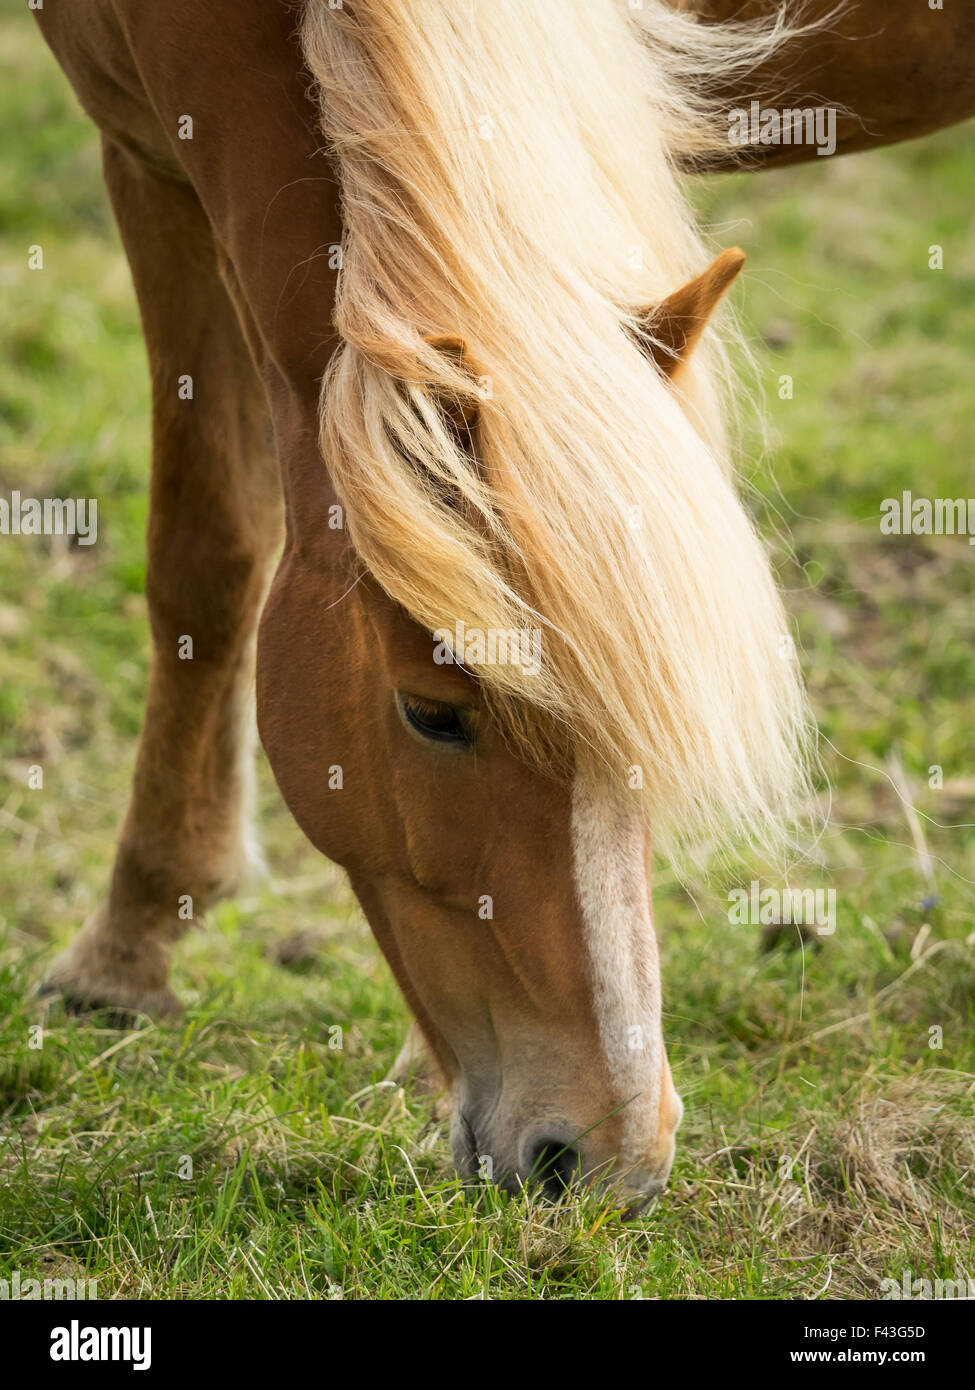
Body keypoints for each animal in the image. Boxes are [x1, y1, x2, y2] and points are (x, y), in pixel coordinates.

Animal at [31, 0, 975, 1207]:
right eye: (433, 713)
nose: (615, 1163)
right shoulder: (152, 158)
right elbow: (210, 552)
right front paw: (135, 946)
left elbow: (205, 554)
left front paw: (127, 942)